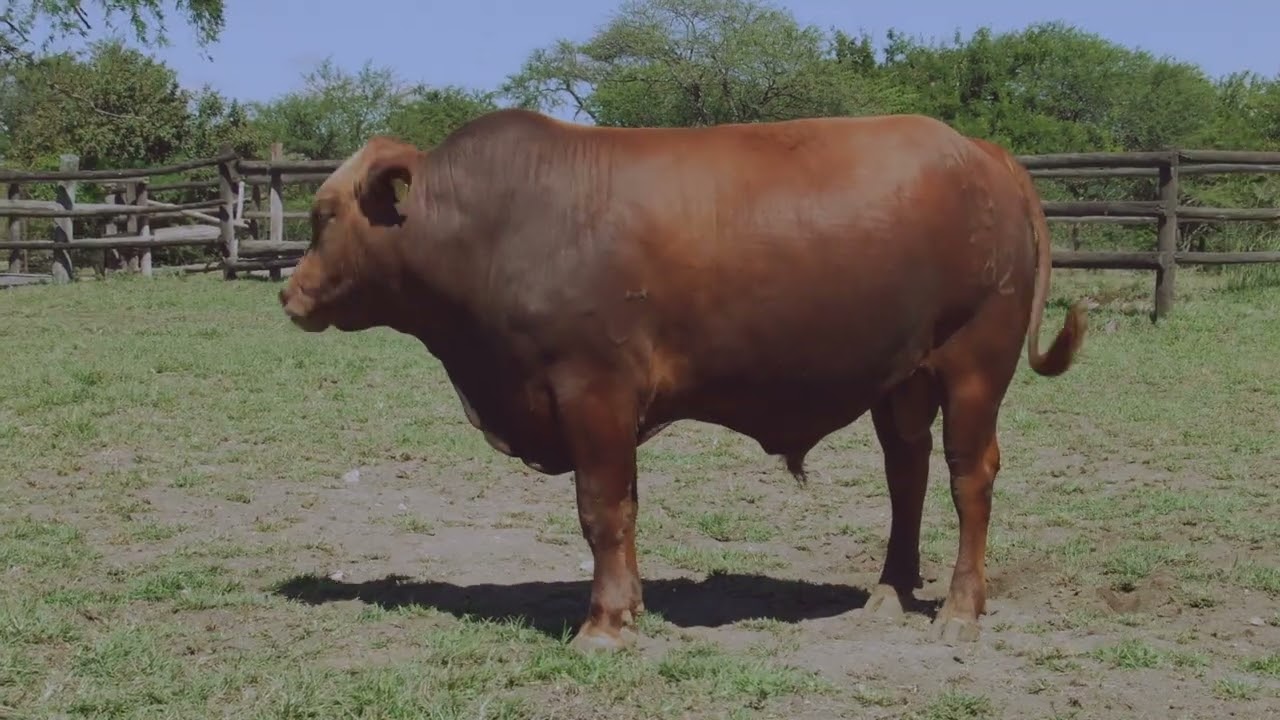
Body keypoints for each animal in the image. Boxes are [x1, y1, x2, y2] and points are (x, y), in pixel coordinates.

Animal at [278, 108, 1086, 651]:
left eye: (323, 215)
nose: (290, 293)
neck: (499, 224)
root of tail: (981, 151)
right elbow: (627, 510)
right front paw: (630, 607)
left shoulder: (592, 391)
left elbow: (601, 511)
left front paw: (604, 625)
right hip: (902, 380)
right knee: (906, 475)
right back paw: (889, 592)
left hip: (974, 364)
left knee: (969, 477)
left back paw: (960, 610)